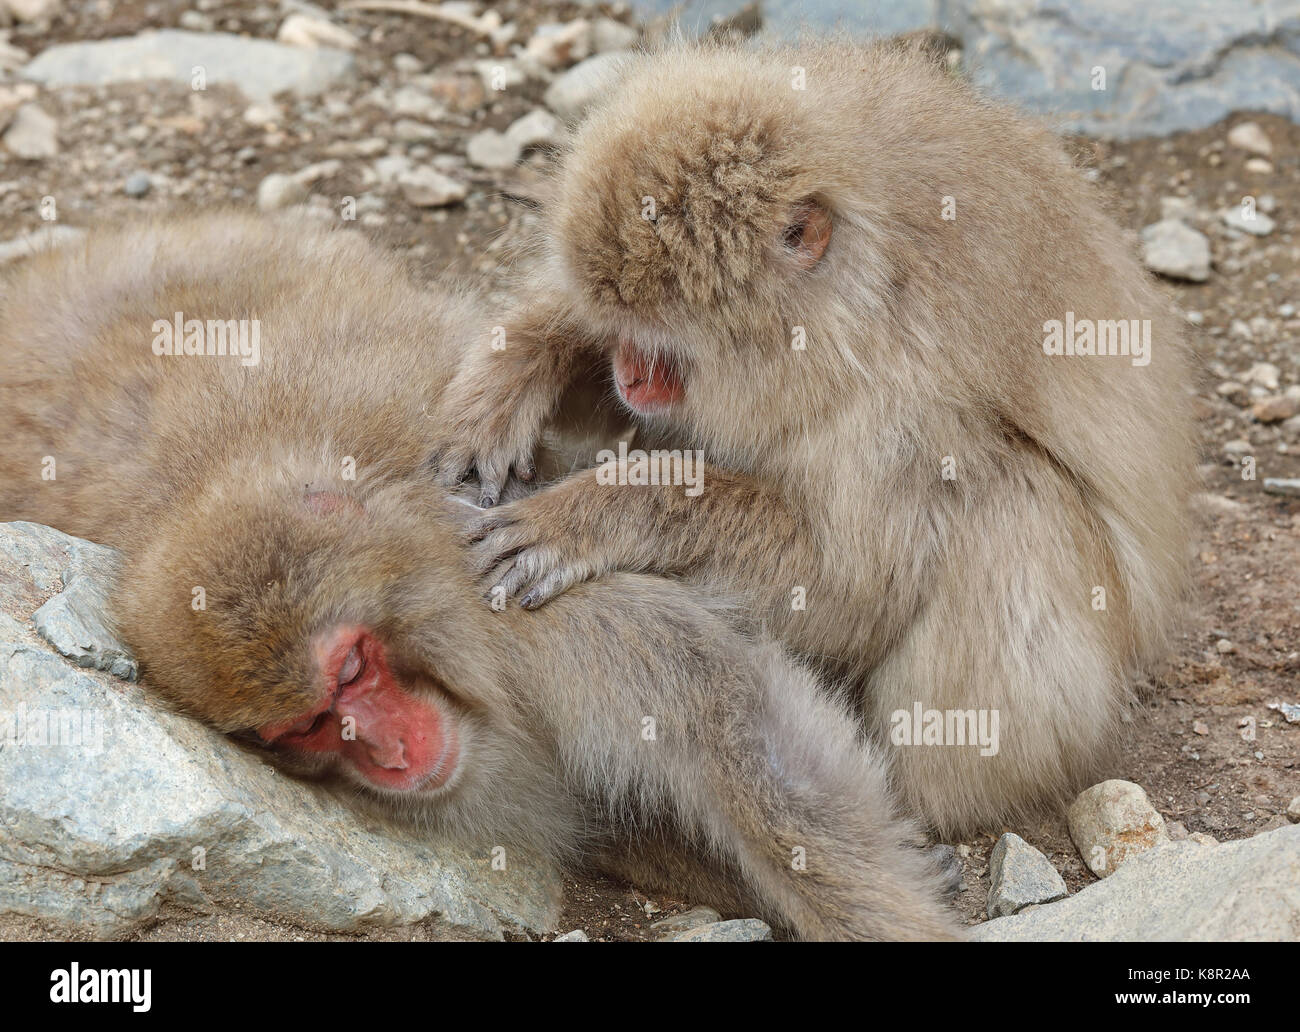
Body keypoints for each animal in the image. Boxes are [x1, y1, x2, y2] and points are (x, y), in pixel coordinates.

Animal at [429, 40, 1196, 839]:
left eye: (663, 347)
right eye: (620, 330)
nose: (626, 372)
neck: (846, 306)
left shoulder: (900, 397)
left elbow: (852, 586)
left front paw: (601, 513)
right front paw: (512, 377)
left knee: (1009, 497)